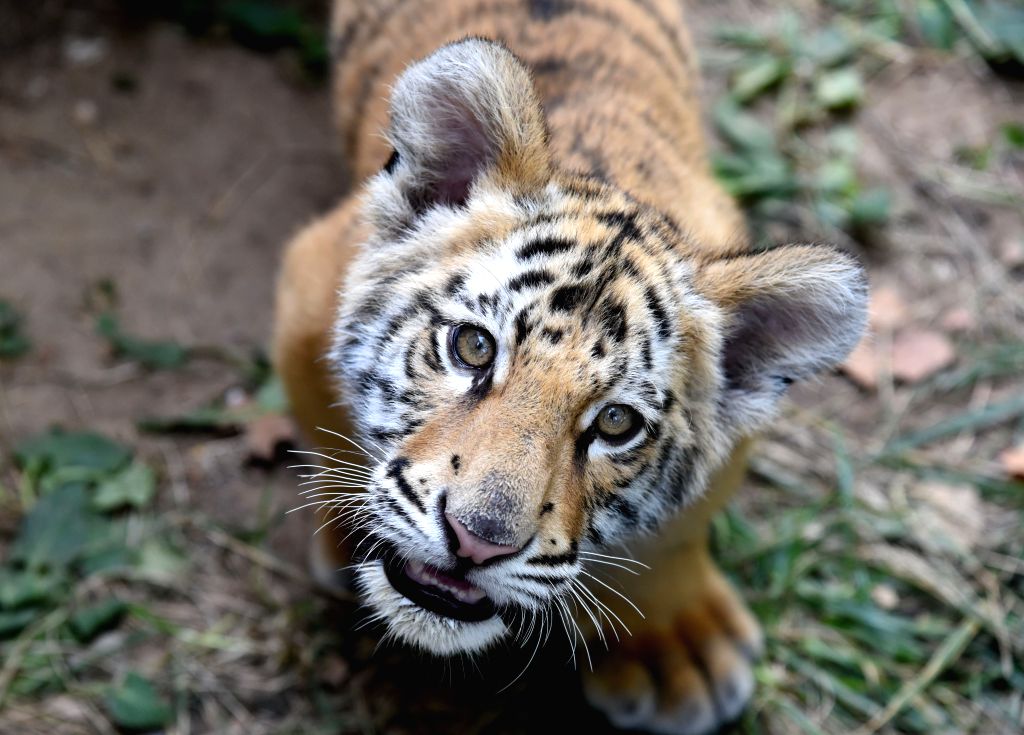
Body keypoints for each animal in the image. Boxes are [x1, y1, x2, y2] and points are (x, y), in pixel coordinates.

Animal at [272, 1, 868, 733]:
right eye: (473, 347)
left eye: (615, 423)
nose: (477, 543)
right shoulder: (305, 293)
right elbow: (328, 438)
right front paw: (346, 541)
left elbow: (673, 534)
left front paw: (678, 649)